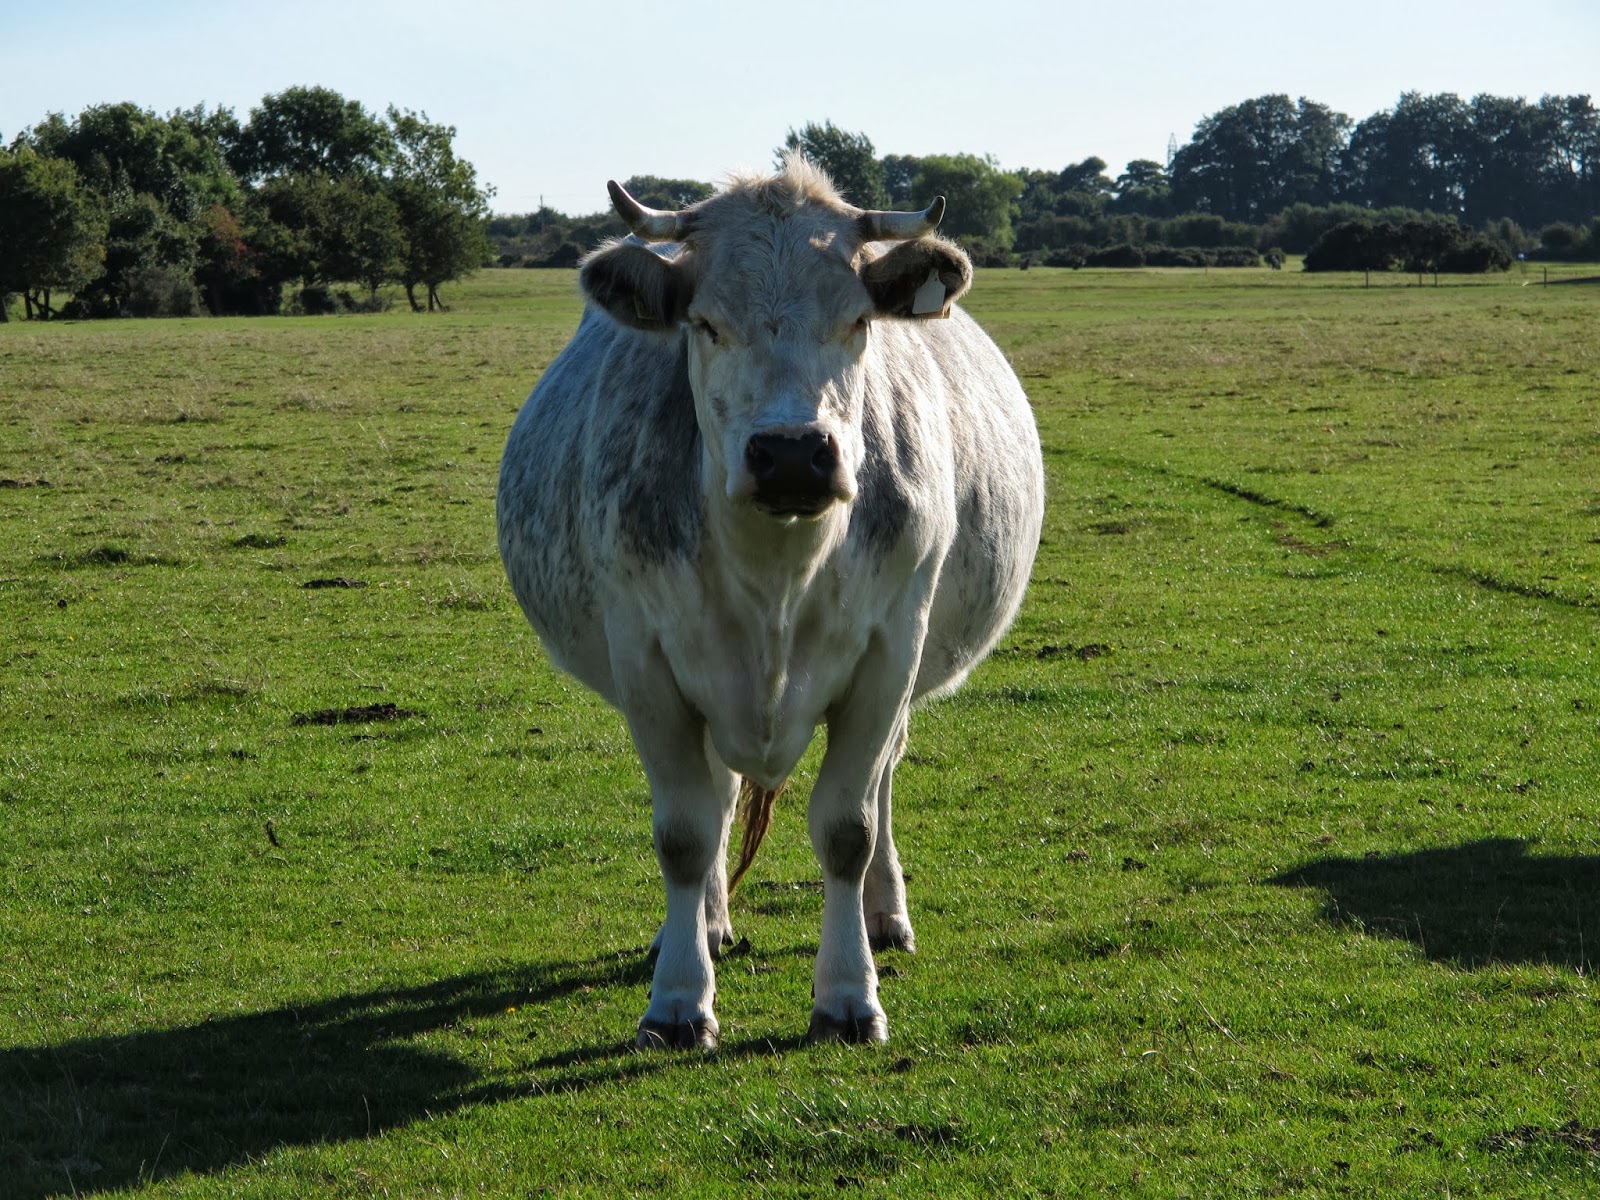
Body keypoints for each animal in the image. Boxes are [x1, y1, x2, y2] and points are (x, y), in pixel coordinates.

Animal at [497, 157, 1045, 1049]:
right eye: (706, 324)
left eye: (858, 322)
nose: (792, 454)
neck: (779, 571)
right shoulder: (647, 661)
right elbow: (684, 834)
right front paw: (679, 1000)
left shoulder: (889, 654)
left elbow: (849, 827)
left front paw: (849, 995)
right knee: (717, 800)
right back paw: (706, 925)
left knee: (880, 784)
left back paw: (885, 915)